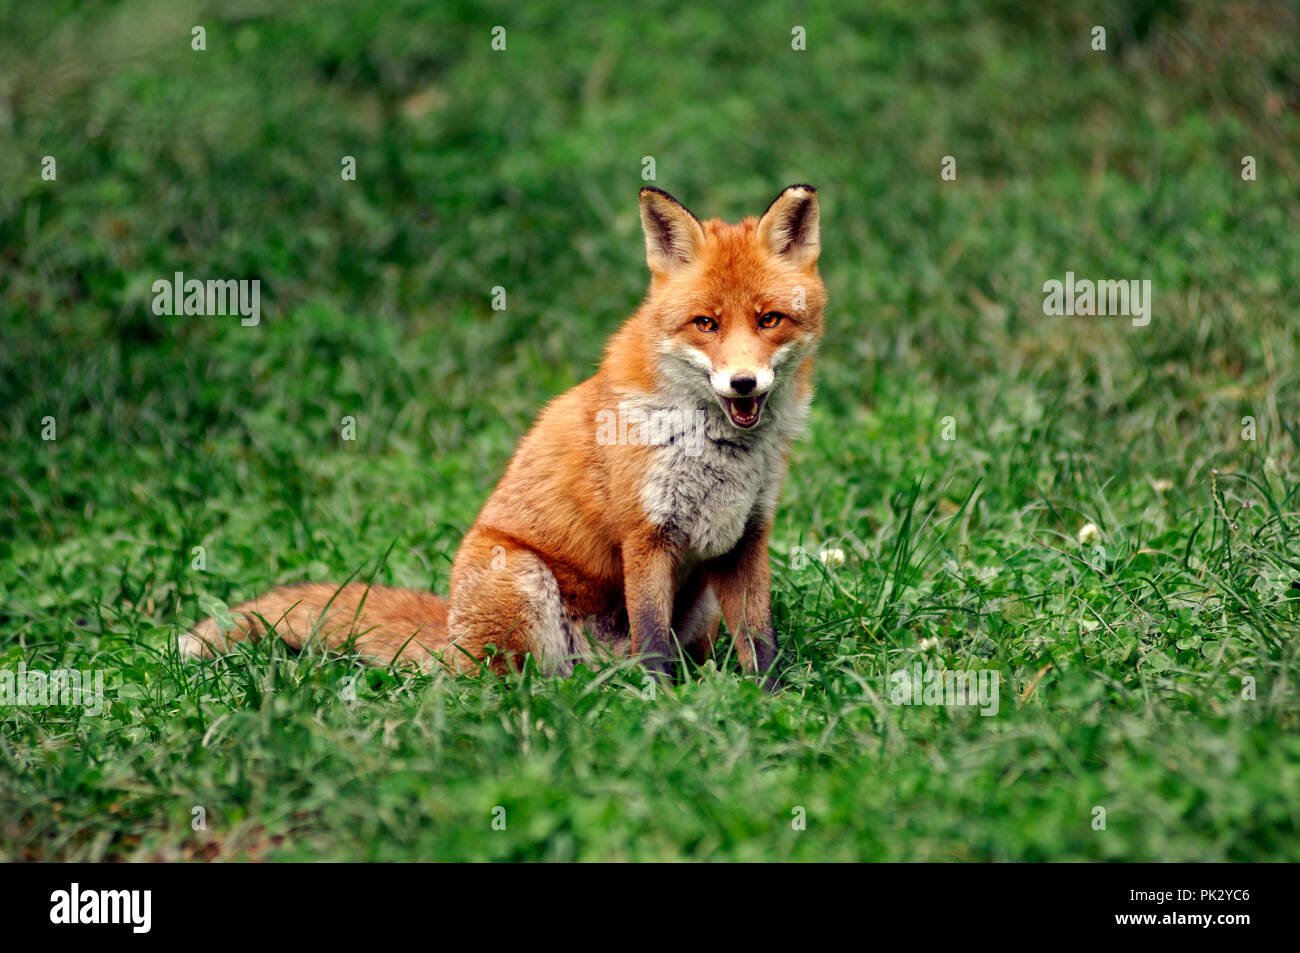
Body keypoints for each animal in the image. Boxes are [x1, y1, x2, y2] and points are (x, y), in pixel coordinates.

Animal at [182, 184, 827, 686]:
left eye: (769, 320)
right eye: (706, 324)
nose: (743, 383)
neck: (717, 448)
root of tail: (449, 633)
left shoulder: (746, 537)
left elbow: (761, 642)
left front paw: (770, 704)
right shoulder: (646, 537)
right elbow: (652, 647)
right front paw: (664, 709)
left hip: (698, 607)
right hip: (517, 579)